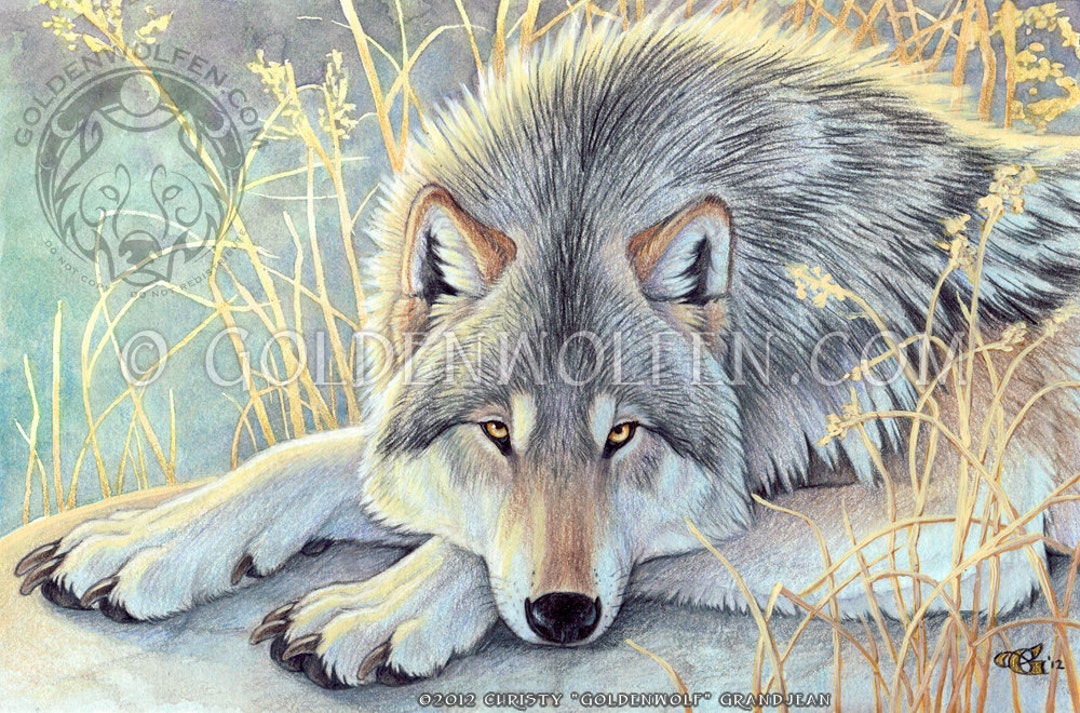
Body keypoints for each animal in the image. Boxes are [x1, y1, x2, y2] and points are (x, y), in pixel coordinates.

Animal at [15, 10, 1080, 689]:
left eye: (624, 435)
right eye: (495, 431)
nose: (563, 616)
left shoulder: (963, 528)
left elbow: (595, 540)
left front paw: (379, 607)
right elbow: (307, 460)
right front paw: (139, 541)